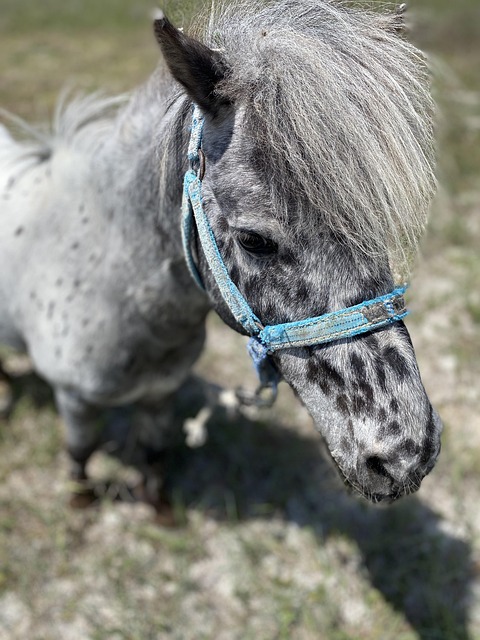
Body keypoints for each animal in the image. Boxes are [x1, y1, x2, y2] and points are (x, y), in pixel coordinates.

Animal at [0, 0, 442, 506]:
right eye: (254, 240)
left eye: (375, 224)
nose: (406, 456)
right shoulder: (74, 400)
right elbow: (81, 453)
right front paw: (82, 501)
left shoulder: (162, 392)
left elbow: (153, 450)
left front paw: (158, 509)